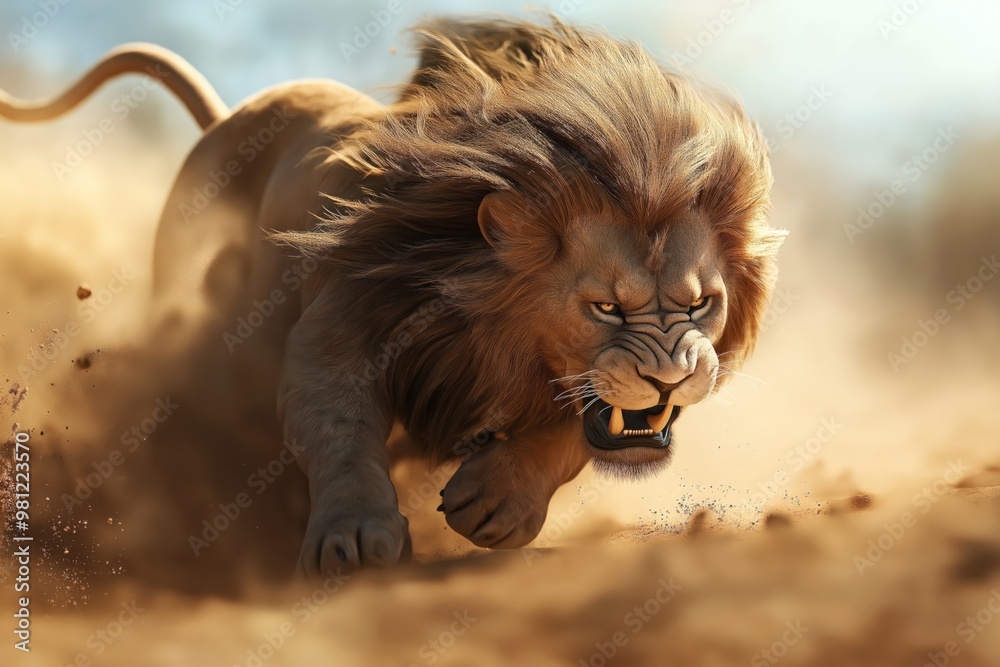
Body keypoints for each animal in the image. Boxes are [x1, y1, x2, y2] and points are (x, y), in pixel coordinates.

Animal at [1, 17, 785, 577]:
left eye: (700, 305)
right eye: (606, 307)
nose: (673, 376)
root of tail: (228, 114)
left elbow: (570, 430)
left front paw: (500, 500)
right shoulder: (343, 332)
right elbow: (340, 430)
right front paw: (352, 534)